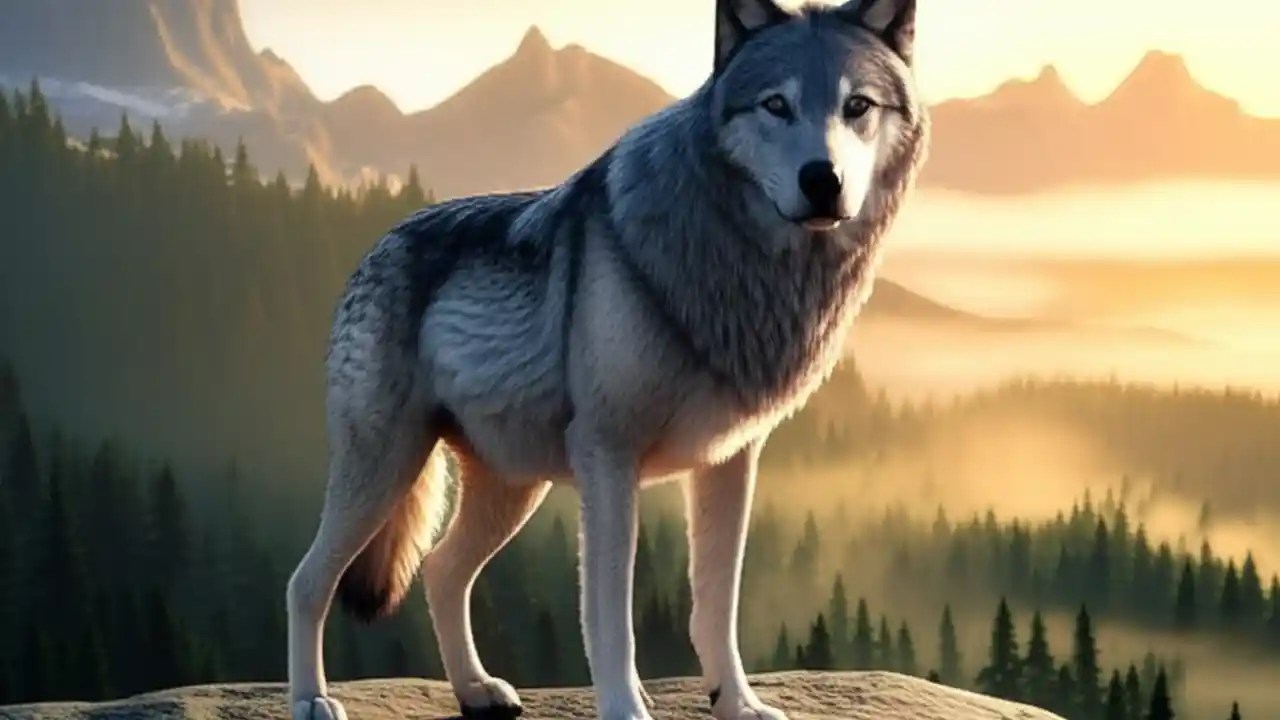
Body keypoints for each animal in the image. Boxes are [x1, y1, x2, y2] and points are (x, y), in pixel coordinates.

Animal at [286, 0, 928, 718]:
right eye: (776, 105)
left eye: (857, 105)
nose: (823, 179)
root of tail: (377, 246)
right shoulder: (609, 457)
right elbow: (611, 615)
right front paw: (626, 706)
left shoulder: (731, 462)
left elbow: (716, 606)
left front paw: (736, 702)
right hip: (386, 468)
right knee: (306, 581)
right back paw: (312, 699)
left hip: (511, 488)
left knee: (443, 569)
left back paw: (477, 689)